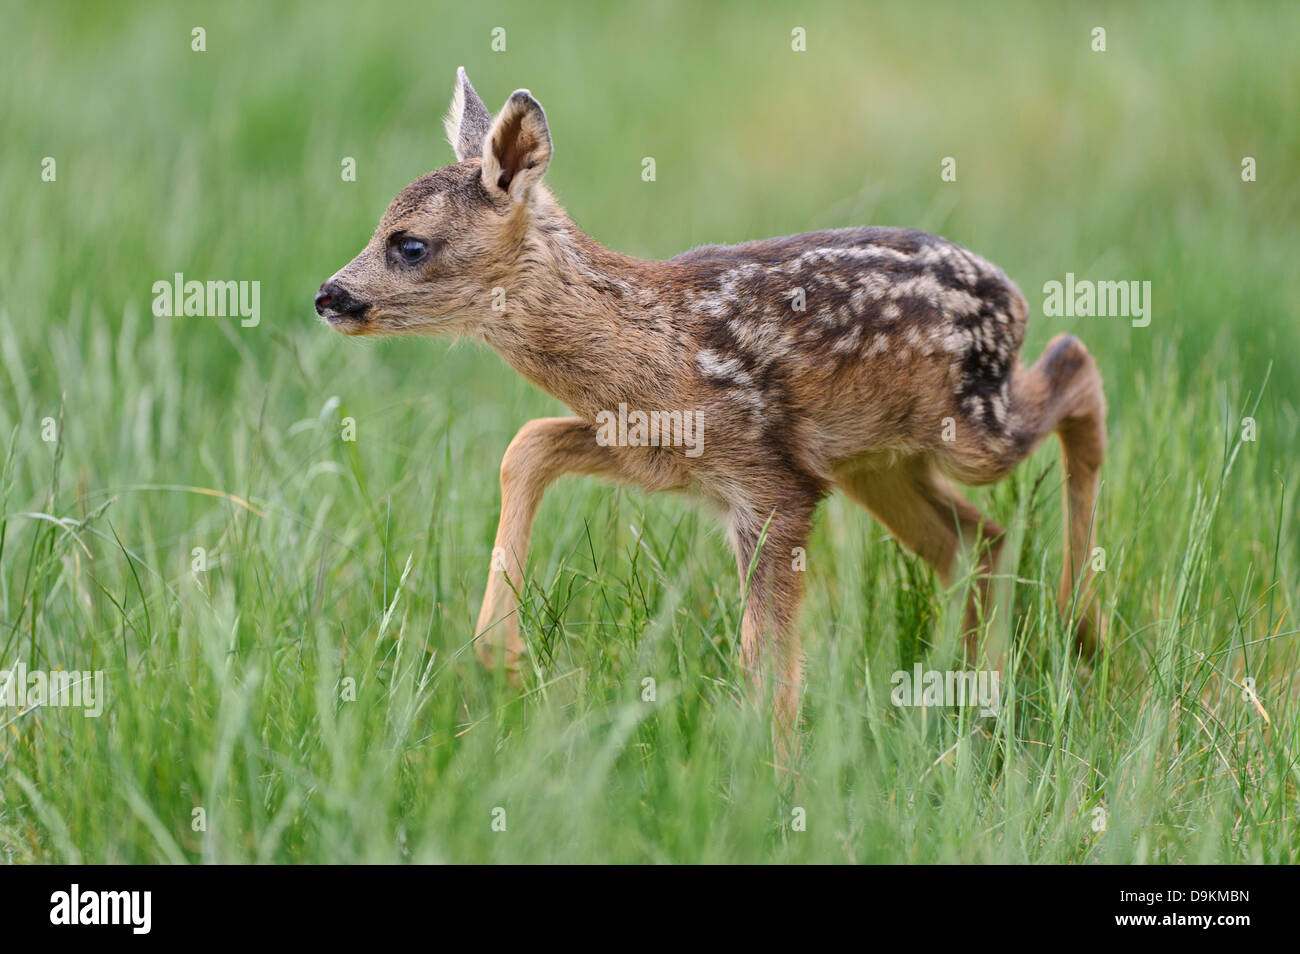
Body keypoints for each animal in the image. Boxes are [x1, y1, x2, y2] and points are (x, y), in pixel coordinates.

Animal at [315, 68, 1107, 762]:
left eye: (409, 243)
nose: (328, 295)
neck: (658, 343)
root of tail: (1011, 295)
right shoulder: (653, 453)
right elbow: (528, 443)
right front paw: (498, 658)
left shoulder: (773, 486)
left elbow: (766, 653)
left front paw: (772, 778)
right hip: (875, 464)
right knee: (977, 540)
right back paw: (981, 702)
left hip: (971, 422)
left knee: (1076, 365)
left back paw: (1080, 631)